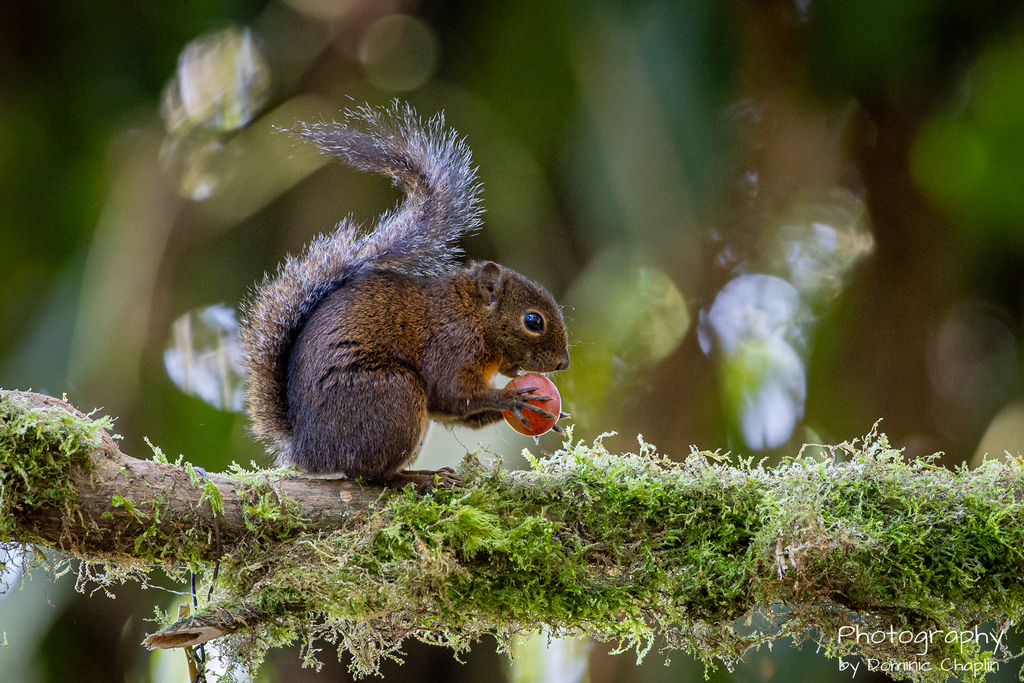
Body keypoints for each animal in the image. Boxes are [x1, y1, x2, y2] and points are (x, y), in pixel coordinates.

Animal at [240, 103, 570, 490]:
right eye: (533, 321)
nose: (563, 363)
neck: (471, 313)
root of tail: (308, 449)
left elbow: (460, 412)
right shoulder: (452, 344)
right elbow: (451, 392)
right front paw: (511, 396)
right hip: (393, 397)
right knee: (370, 473)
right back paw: (420, 478)